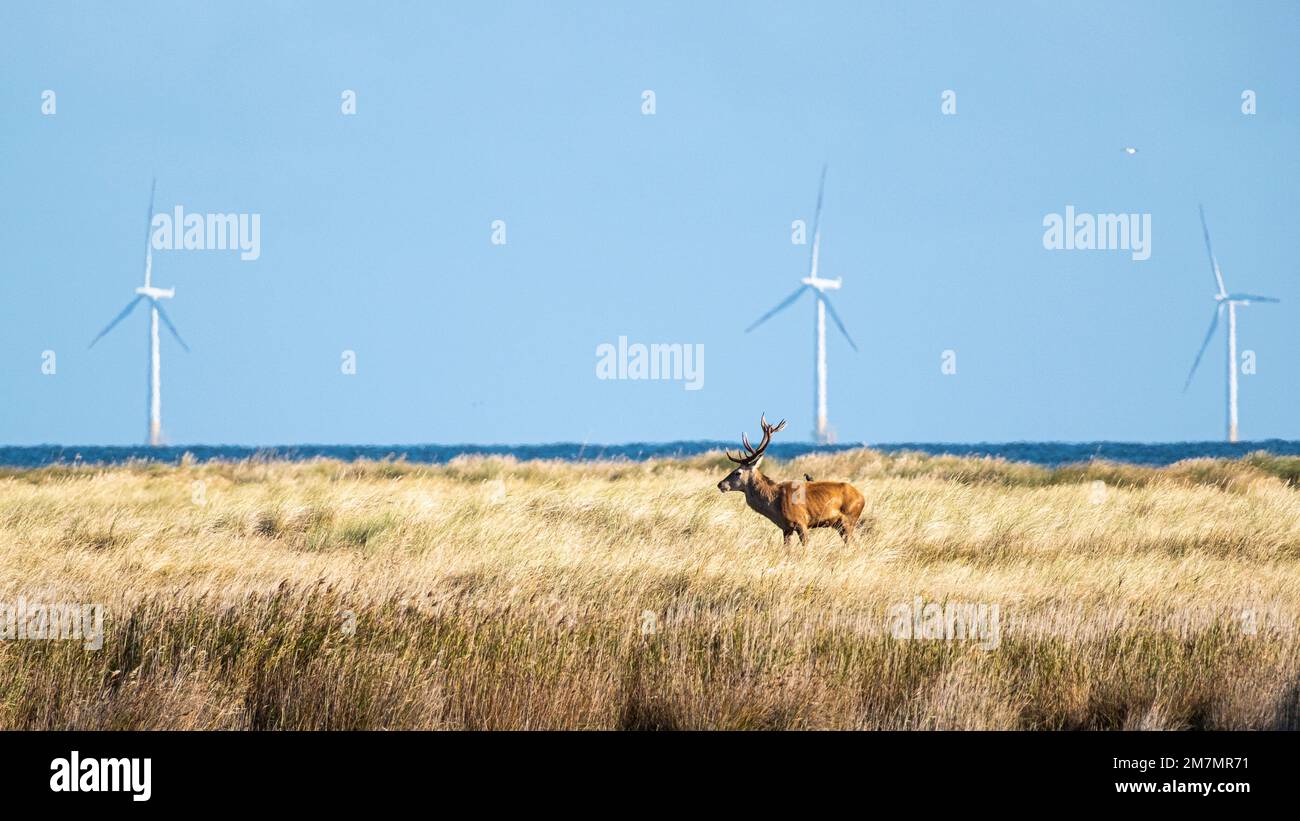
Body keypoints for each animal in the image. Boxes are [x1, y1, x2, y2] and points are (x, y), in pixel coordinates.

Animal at [716, 414, 866, 547]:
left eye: (737, 472)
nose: (720, 484)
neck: (774, 502)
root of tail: (862, 497)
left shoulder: (801, 521)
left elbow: (806, 547)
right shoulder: (786, 528)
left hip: (849, 519)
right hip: (840, 525)